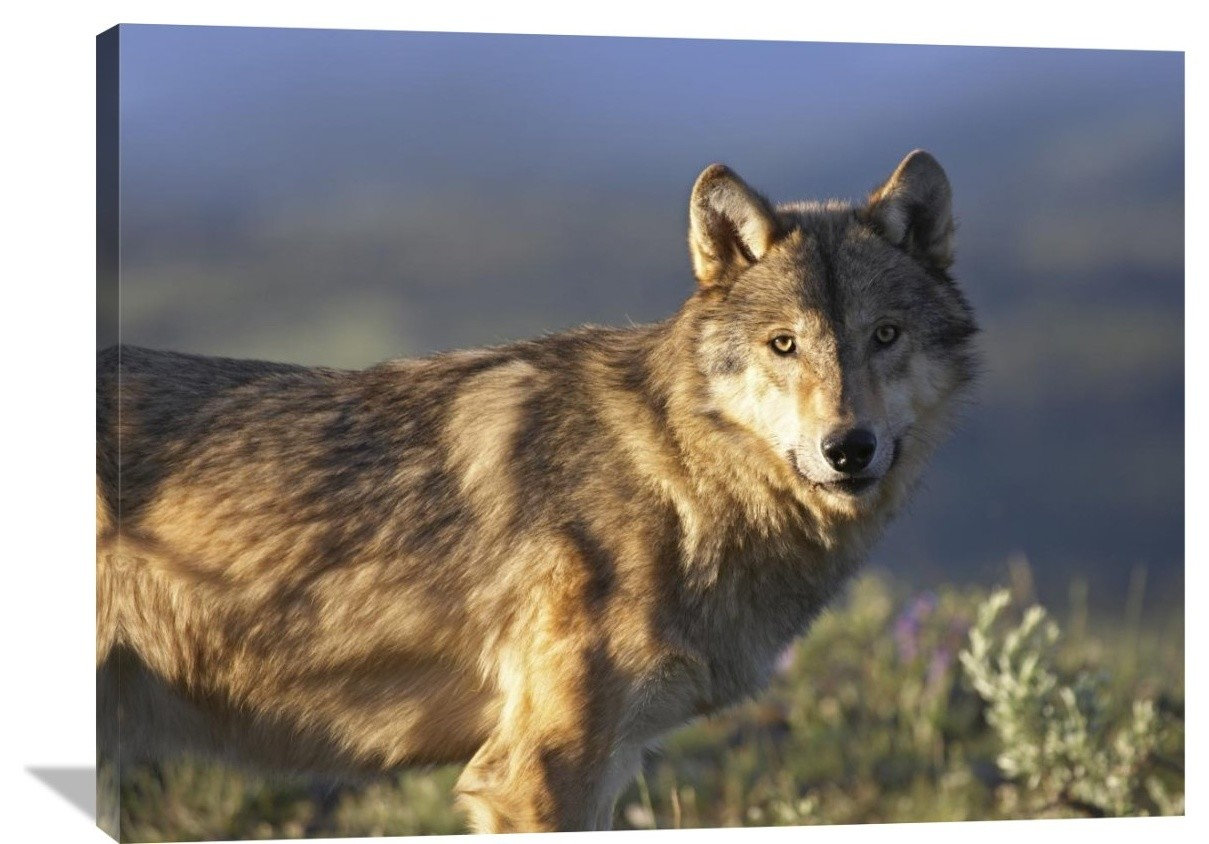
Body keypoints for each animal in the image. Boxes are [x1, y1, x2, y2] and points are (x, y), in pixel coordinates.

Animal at [96, 150, 977, 834]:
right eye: (783, 345)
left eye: (884, 336)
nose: (847, 449)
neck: (673, 480)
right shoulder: (538, 772)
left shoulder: (607, 763)